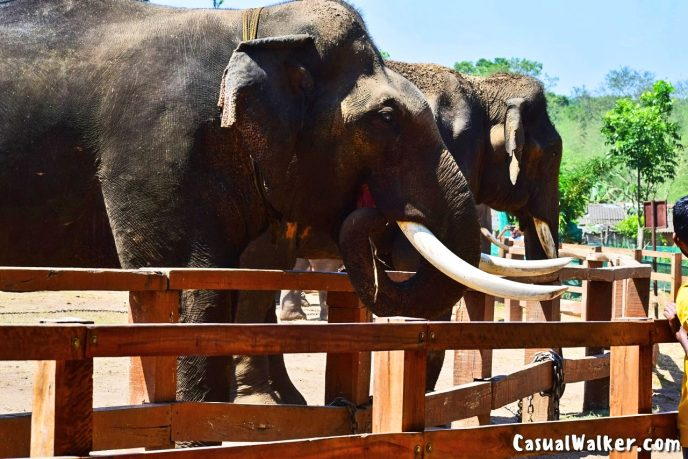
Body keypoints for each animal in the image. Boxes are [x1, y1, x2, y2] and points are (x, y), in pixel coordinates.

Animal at [2, 0, 565, 414]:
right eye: (386, 118)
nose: (554, 382)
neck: (257, 29)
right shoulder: (157, 150)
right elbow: (181, 279)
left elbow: (253, 271)